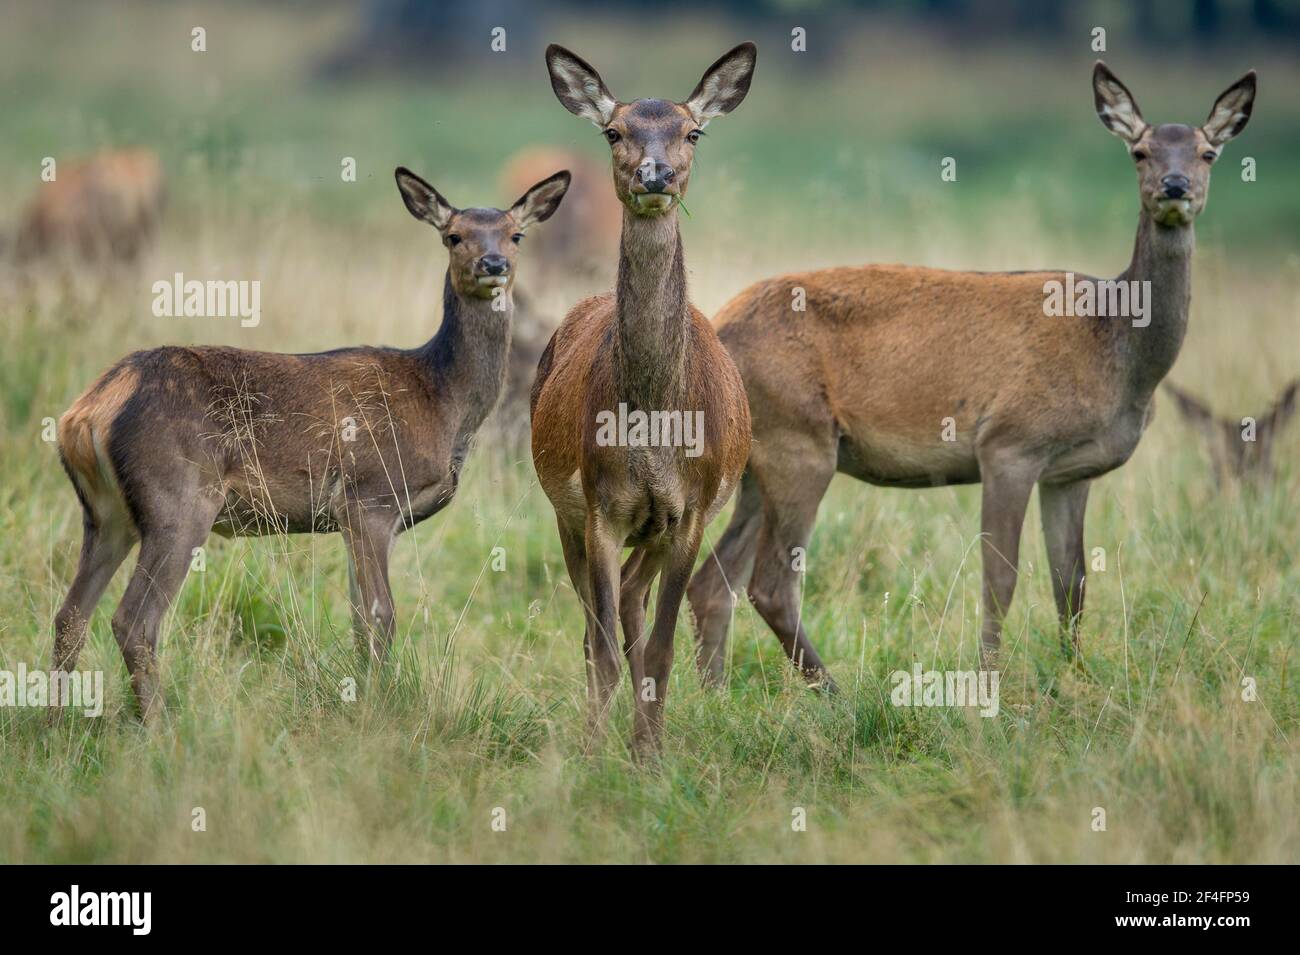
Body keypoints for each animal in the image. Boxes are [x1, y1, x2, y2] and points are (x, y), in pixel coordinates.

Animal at [49, 165, 570, 722]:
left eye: (516, 235)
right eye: (453, 235)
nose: (493, 264)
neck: (443, 402)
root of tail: (90, 408)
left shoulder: (357, 518)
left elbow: (359, 617)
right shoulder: (370, 497)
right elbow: (380, 616)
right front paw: (378, 706)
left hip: (107, 514)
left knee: (70, 615)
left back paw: (57, 723)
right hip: (180, 498)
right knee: (133, 620)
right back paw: (158, 725)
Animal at [531, 43, 756, 755]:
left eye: (693, 132)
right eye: (613, 130)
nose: (655, 174)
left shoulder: (690, 511)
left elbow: (660, 647)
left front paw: (649, 756)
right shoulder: (600, 505)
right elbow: (601, 645)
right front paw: (593, 751)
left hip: (657, 528)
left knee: (633, 601)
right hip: (567, 512)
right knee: (598, 620)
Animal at [687, 62, 1257, 682]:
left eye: (1207, 152)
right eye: (1139, 151)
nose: (1175, 188)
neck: (1115, 350)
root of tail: (718, 328)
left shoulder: (1072, 471)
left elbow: (1072, 583)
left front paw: (1074, 678)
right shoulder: (1010, 441)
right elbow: (1001, 577)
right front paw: (989, 679)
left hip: (757, 461)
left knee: (713, 581)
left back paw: (716, 690)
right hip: (800, 439)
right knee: (770, 584)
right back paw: (832, 691)